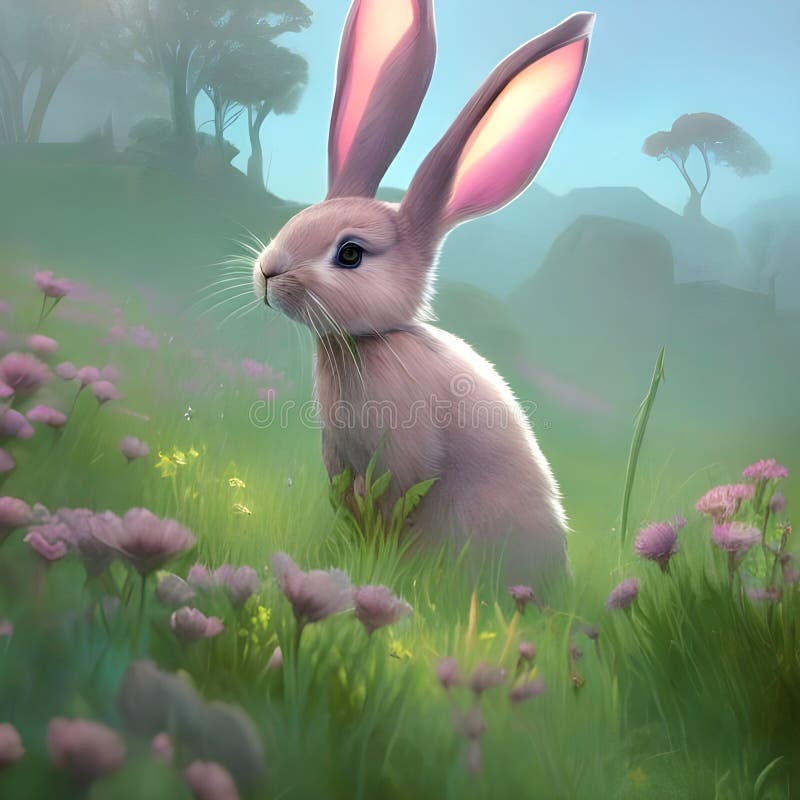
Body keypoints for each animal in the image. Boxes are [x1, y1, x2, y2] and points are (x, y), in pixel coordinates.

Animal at [252, 0, 595, 588]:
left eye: (349, 254)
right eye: (296, 220)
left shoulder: (403, 455)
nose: (268, 274)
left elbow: (392, 502)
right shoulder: (338, 454)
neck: (369, 342)